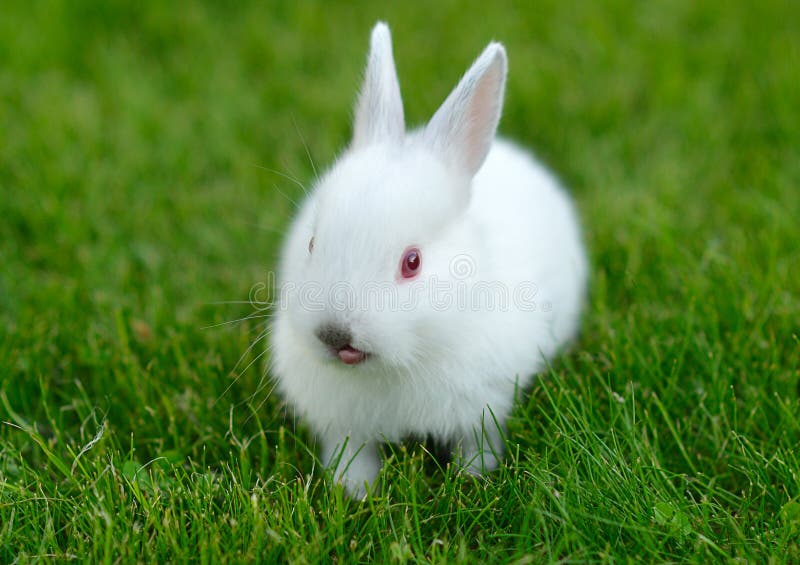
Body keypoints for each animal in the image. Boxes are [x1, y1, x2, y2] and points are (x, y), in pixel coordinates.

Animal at [270, 22, 587, 498]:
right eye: (311, 242)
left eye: (412, 262)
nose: (333, 334)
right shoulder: (345, 426)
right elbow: (354, 452)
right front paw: (354, 489)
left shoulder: (483, 407)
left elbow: (477, 442)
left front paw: (473, 477)